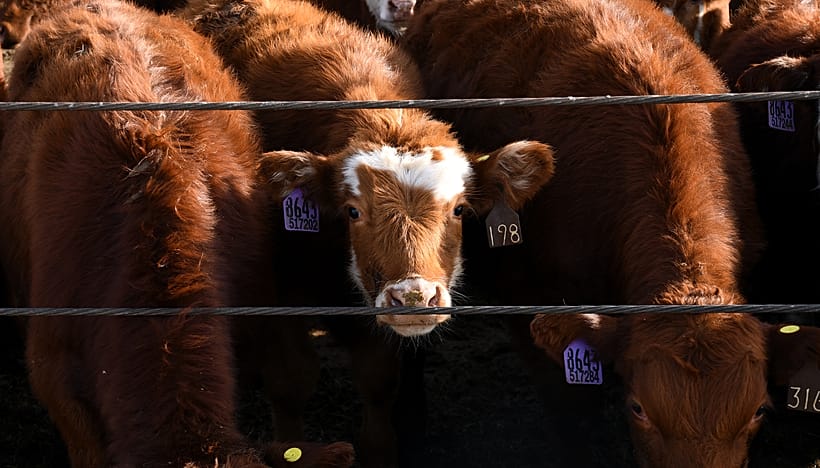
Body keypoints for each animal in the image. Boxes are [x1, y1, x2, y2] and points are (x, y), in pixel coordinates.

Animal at [177, 0, 557, 465]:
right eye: (353, 211)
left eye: (459, 209)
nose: (414, 298)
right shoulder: (277, 293)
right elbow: (290, 383)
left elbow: (378, 383)